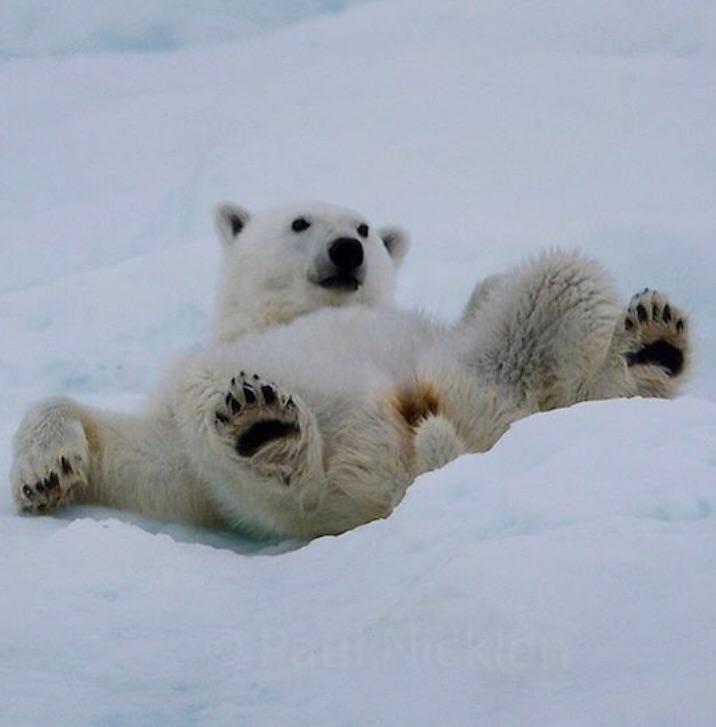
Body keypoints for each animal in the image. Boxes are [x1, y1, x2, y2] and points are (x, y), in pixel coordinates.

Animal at [10, 202, 691, 540]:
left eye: (364, 226)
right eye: (300, 222)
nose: (348, 249)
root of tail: (420, 463)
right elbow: (154, 463)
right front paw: (46, 473)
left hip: (482, 374)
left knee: (562, 281)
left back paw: (649, 347)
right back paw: (265, 428)